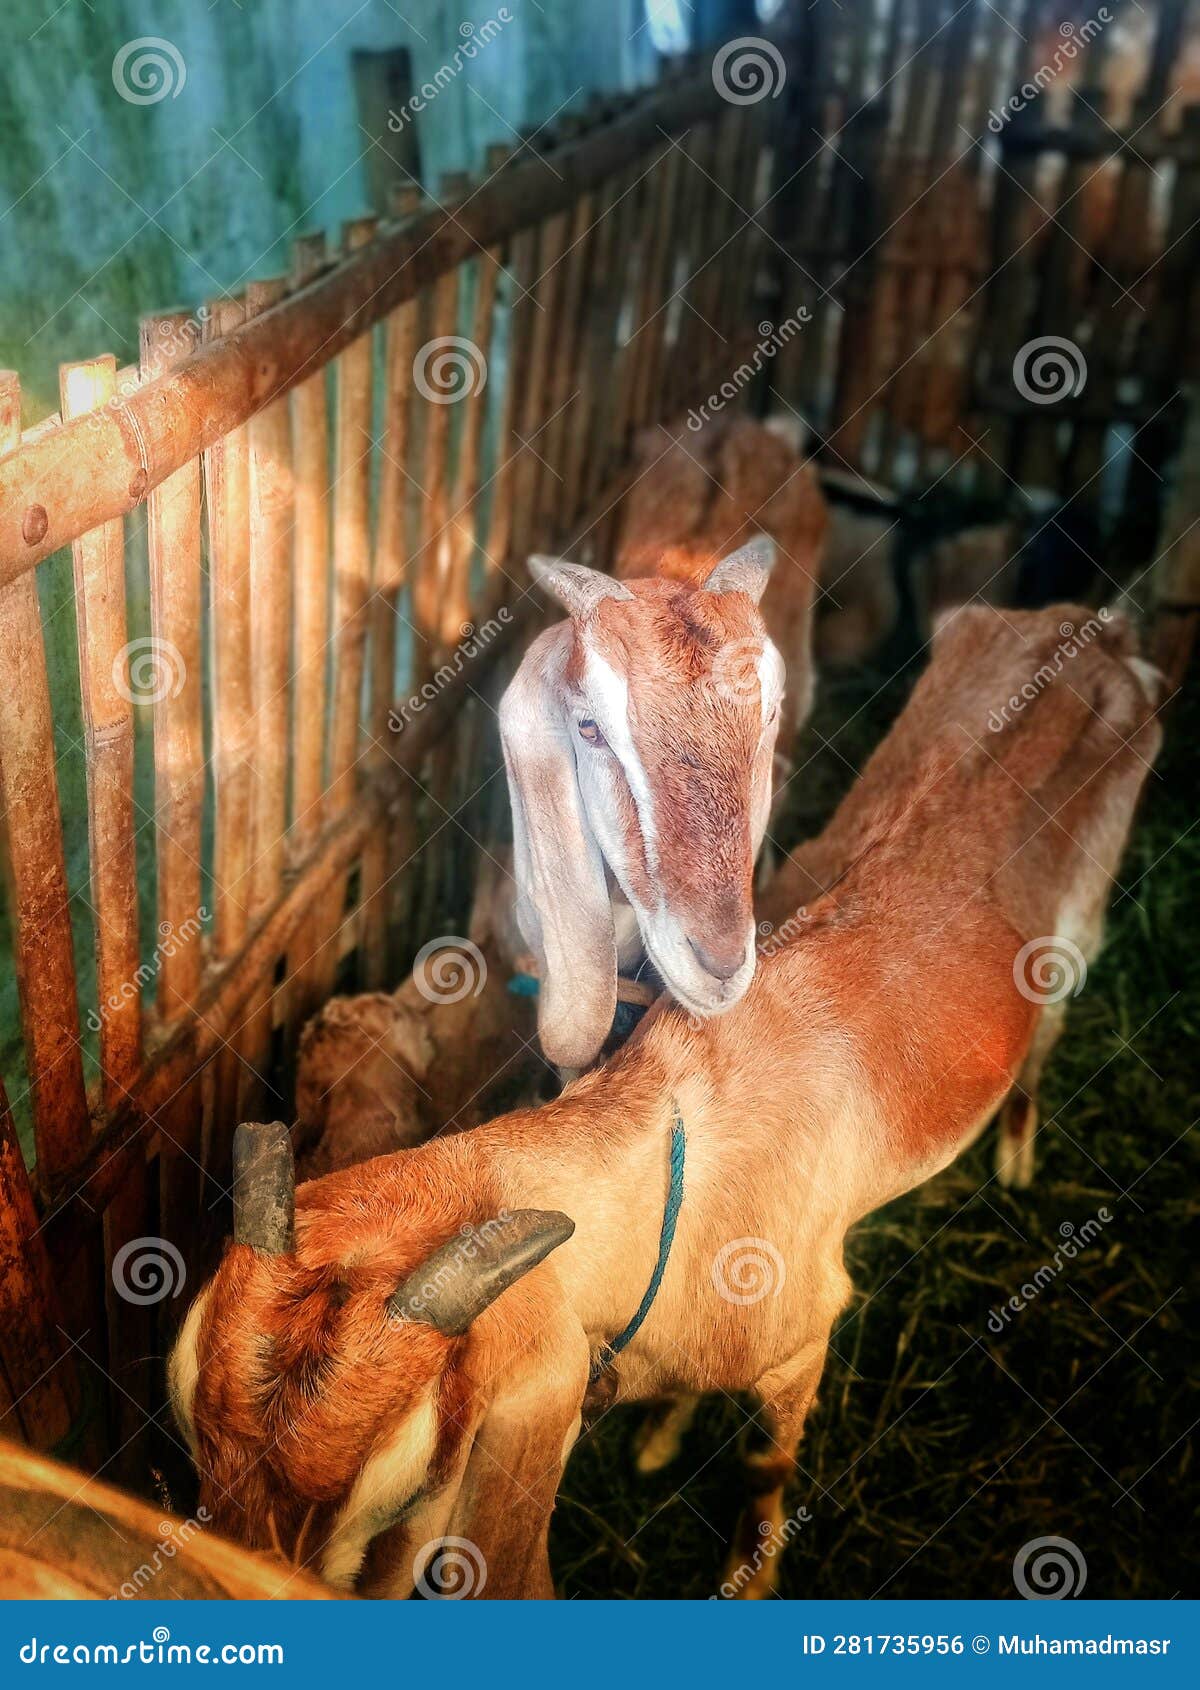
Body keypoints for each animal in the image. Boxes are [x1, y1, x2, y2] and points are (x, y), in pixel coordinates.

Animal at [171, 603, 1160, 1600]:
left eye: (403, 1497)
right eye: (191, 1436)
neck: (665, 1165)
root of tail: (1092, 629)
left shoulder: (804, 1342)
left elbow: (765, 1470)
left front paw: (749, 1576)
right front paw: (659, 1438)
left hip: (1078, 938)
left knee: (1046, 1036)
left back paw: (1020, 1158)